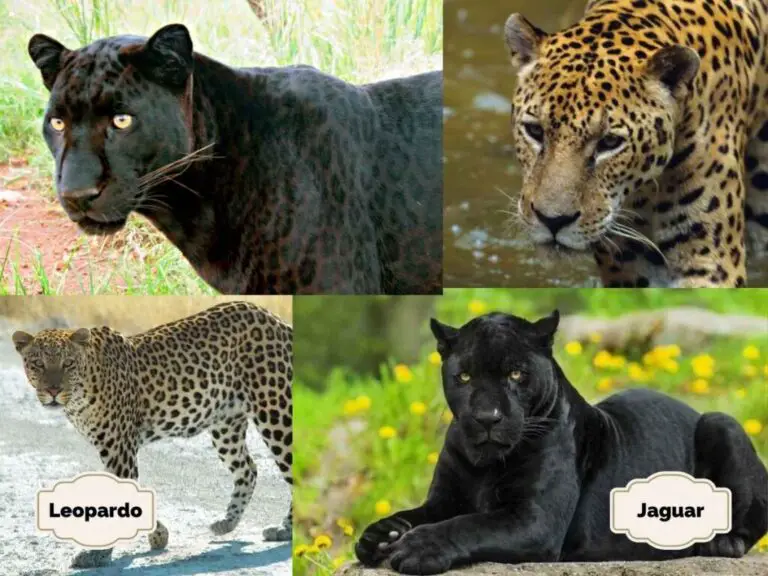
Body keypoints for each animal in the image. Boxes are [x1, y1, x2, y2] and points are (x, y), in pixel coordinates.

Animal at [12, 301, 293, 568]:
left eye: (68, 364)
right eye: (38, 364)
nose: (53, 391)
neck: (81, 393)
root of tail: (275, 319)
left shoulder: (118, 450)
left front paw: (98, 555)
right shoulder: (118, 451)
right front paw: (159, 536)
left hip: (275, 413)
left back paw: (284, 530)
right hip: (225, 424)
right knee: (248, 468)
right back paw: (226, 523)